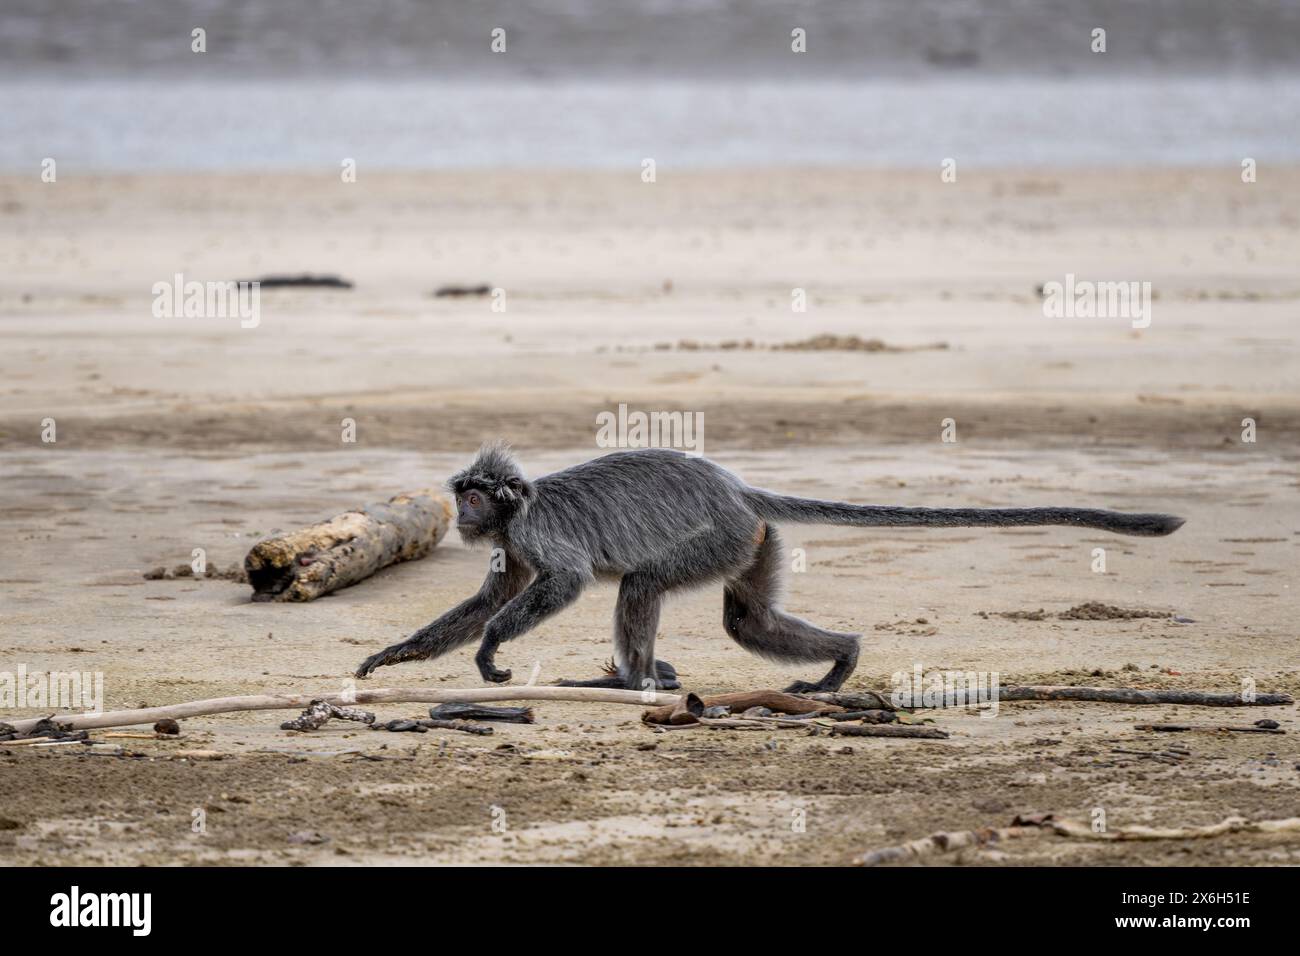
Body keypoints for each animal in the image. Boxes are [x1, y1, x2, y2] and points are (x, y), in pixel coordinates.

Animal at [354, 443, 1184, 693]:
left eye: (472, 494)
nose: (459, 511)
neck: (514, 512)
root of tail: (736, 489)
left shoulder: (534, 531)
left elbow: (564, 584)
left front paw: (494, 650)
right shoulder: (511, 541)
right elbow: (491, 596)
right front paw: (393, 655)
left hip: (720, 535)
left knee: (644, 583)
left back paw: (632, 681)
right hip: (752, 541)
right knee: (747, 618)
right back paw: (842, 659)